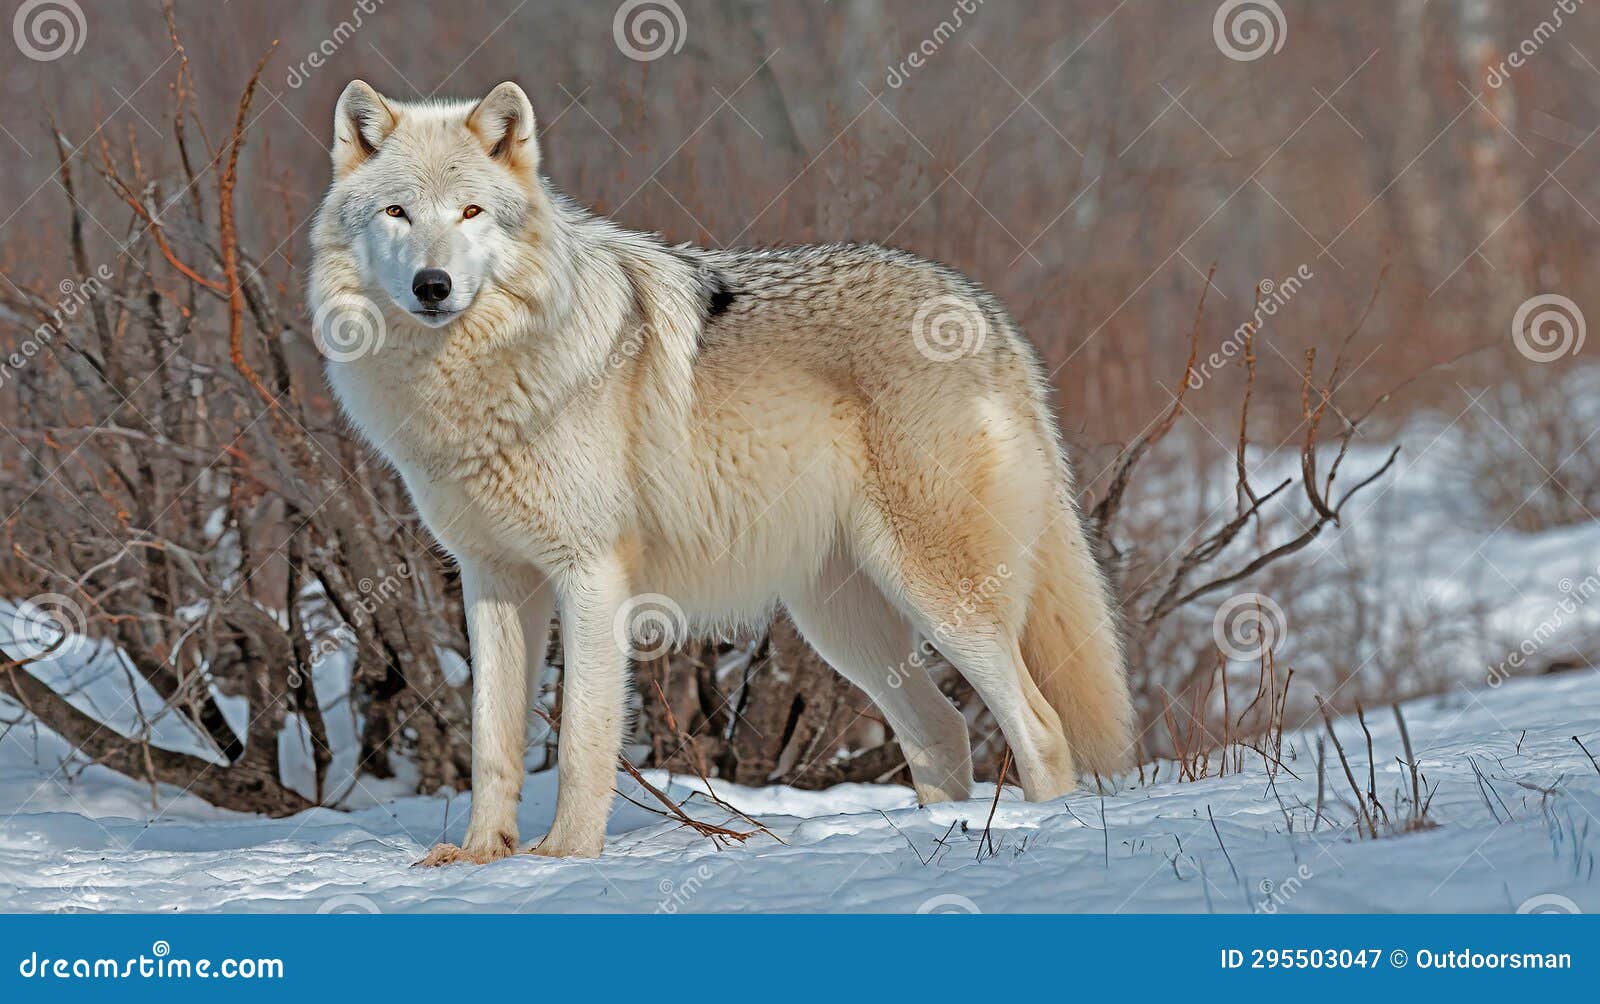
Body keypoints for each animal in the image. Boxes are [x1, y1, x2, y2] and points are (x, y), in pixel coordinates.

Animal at [310, 80, 1132, 862]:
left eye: (471, 211)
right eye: (397, 213)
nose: (433, 285)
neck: (470, 382)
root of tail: (986, 313)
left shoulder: (590, 573)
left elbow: (581, 740)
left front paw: (566, 858)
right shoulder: (493, 581)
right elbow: (491, 742)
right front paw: (484, 858)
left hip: (939, 598)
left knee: (1041, 727)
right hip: (843, 622)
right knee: (944, 729)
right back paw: (943, 837)